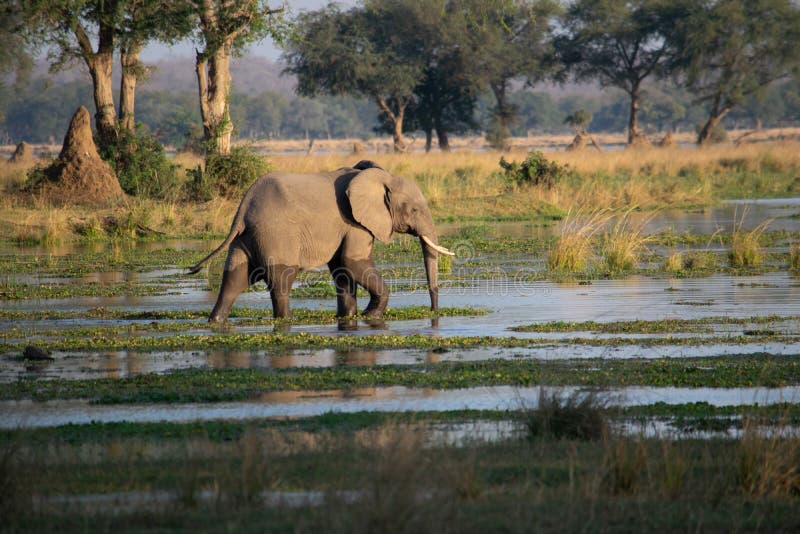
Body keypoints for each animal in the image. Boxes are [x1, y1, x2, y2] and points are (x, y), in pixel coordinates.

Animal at [188, 160, 454, 323]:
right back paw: (286, 320)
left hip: (247, 236)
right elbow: (353, 263)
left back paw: (215, 320)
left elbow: (342, 269)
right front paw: (370, 316)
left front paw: (349, 317)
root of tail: (244, 207)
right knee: (281, 280)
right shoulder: (355, 222)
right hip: (275, 234)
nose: (434, 313)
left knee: (233, 278)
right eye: (415, 210)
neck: (380, 177)